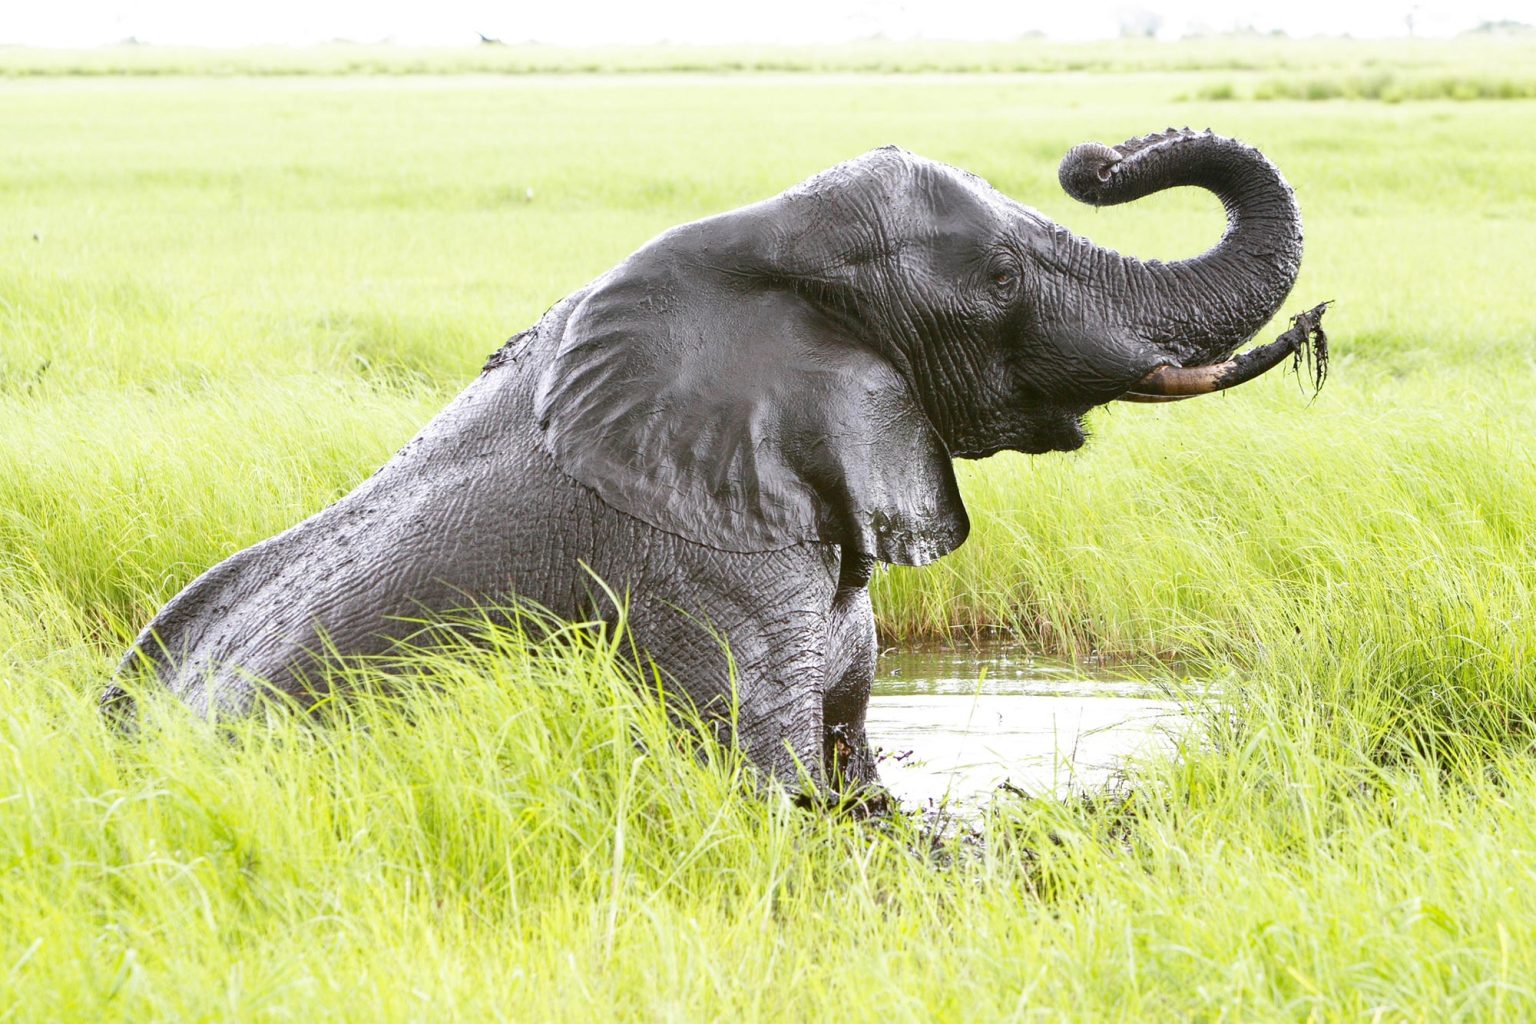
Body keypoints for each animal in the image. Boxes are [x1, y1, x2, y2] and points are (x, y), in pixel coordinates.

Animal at [105, 127, 1326, 800]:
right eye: (1000, 276)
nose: (1098, 158)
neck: (756, 240)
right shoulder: (685, 569)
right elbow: (768, 781)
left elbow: (851, 756)